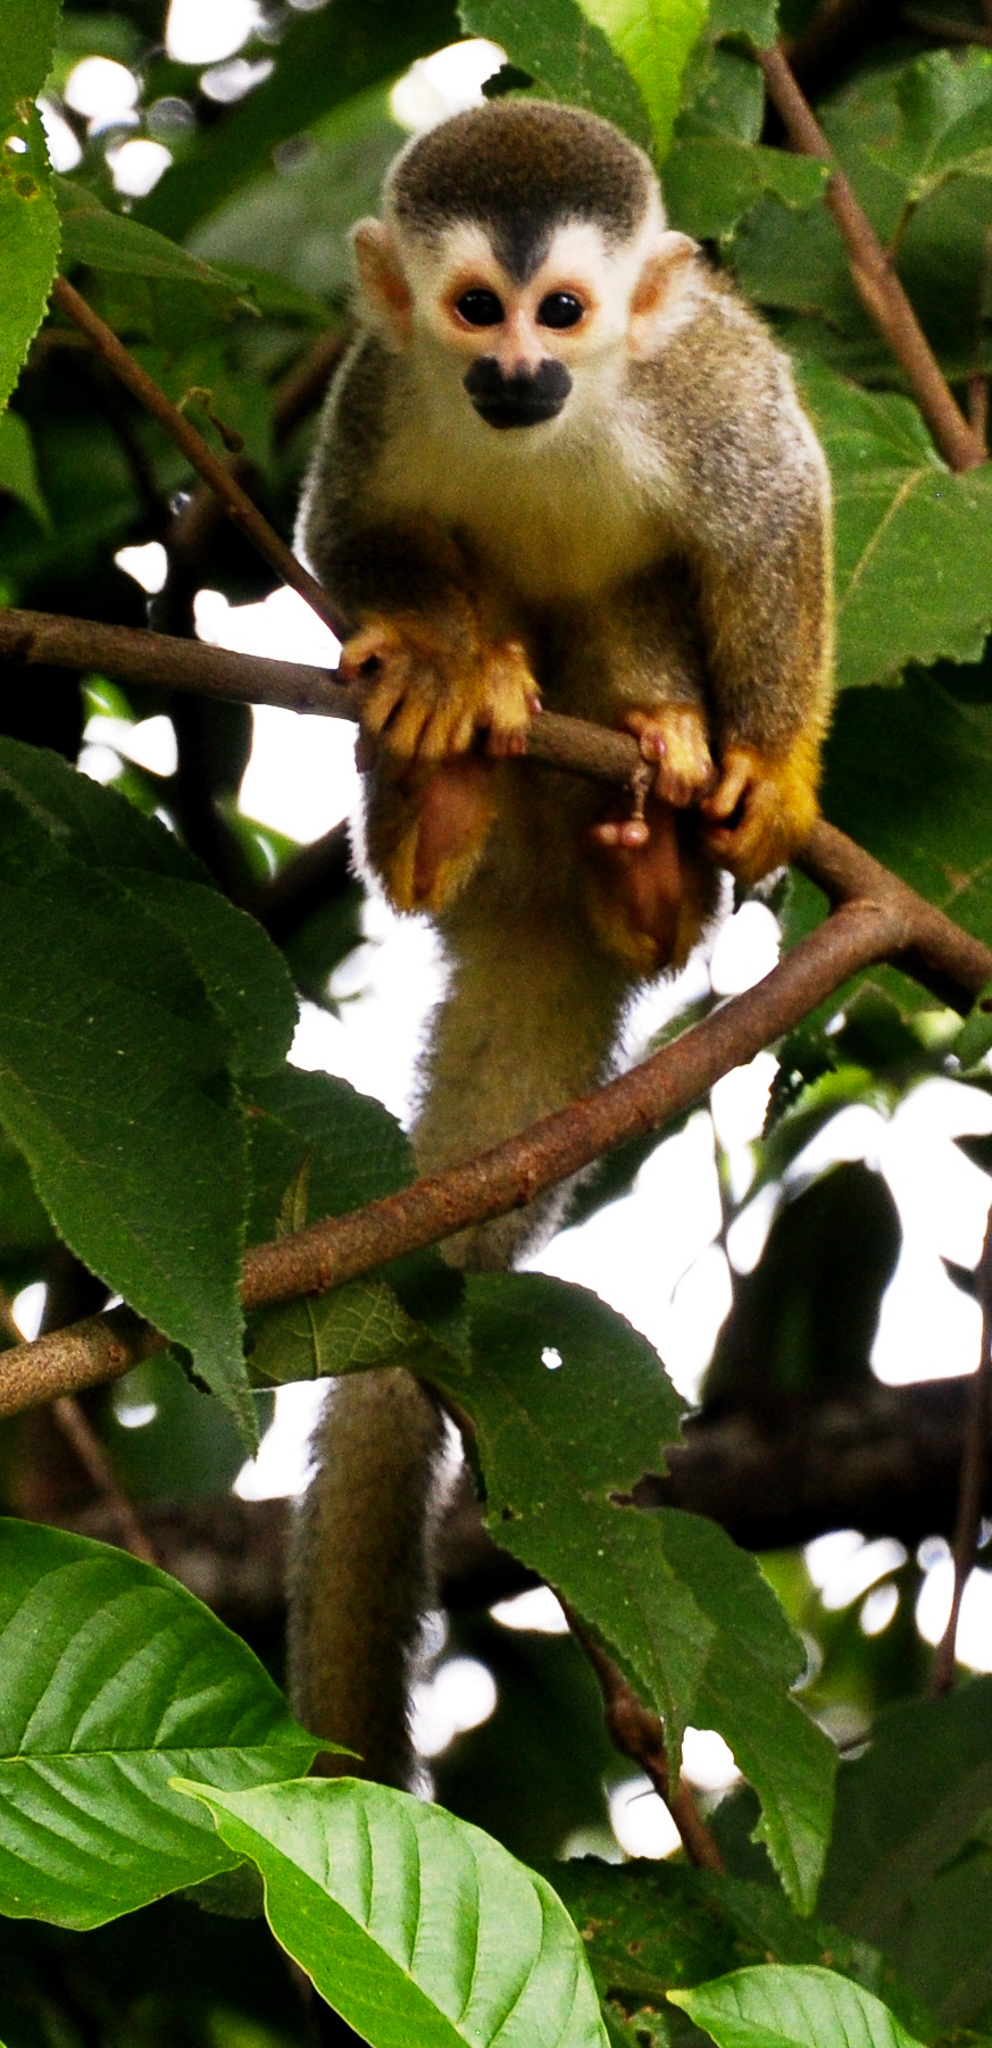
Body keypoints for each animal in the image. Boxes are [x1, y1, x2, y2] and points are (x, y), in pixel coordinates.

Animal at [288, 98, 833, 1788]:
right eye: (478, 307)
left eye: (566, 310)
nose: (519, 370)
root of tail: (529, 903)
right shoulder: (381, 386)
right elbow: (357, 539)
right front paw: (450, 664)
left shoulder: (705, 390)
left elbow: (775, 525)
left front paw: (774, 768)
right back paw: (445, 781)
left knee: (645, 603)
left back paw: (653, 834)